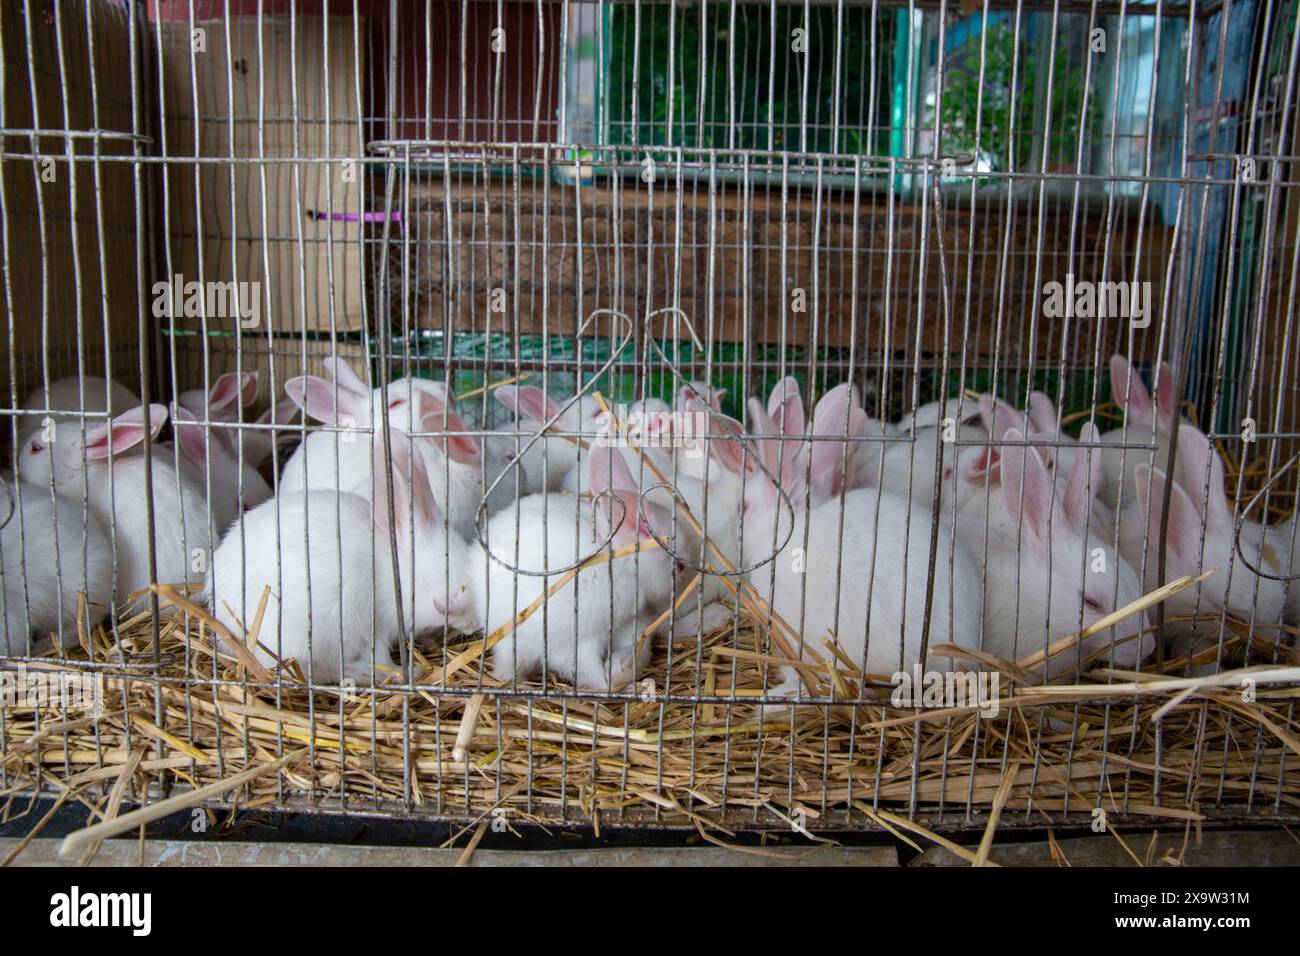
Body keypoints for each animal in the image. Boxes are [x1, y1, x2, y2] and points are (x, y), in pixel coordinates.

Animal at [206, 429, 471, 683]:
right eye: (442, 605)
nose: (471, 628)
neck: (392, 573)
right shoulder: (376, 627)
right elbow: (380, 657)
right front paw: (404, 673)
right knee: (305, 671)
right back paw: (358, 672)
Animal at [463, 443, 676, 688]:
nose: (682, 571)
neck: (618, 564)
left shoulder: (629, 623)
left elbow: (634, 649)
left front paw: (618, 669)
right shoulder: (576, 640)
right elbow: (585, 668)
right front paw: (606, 685)